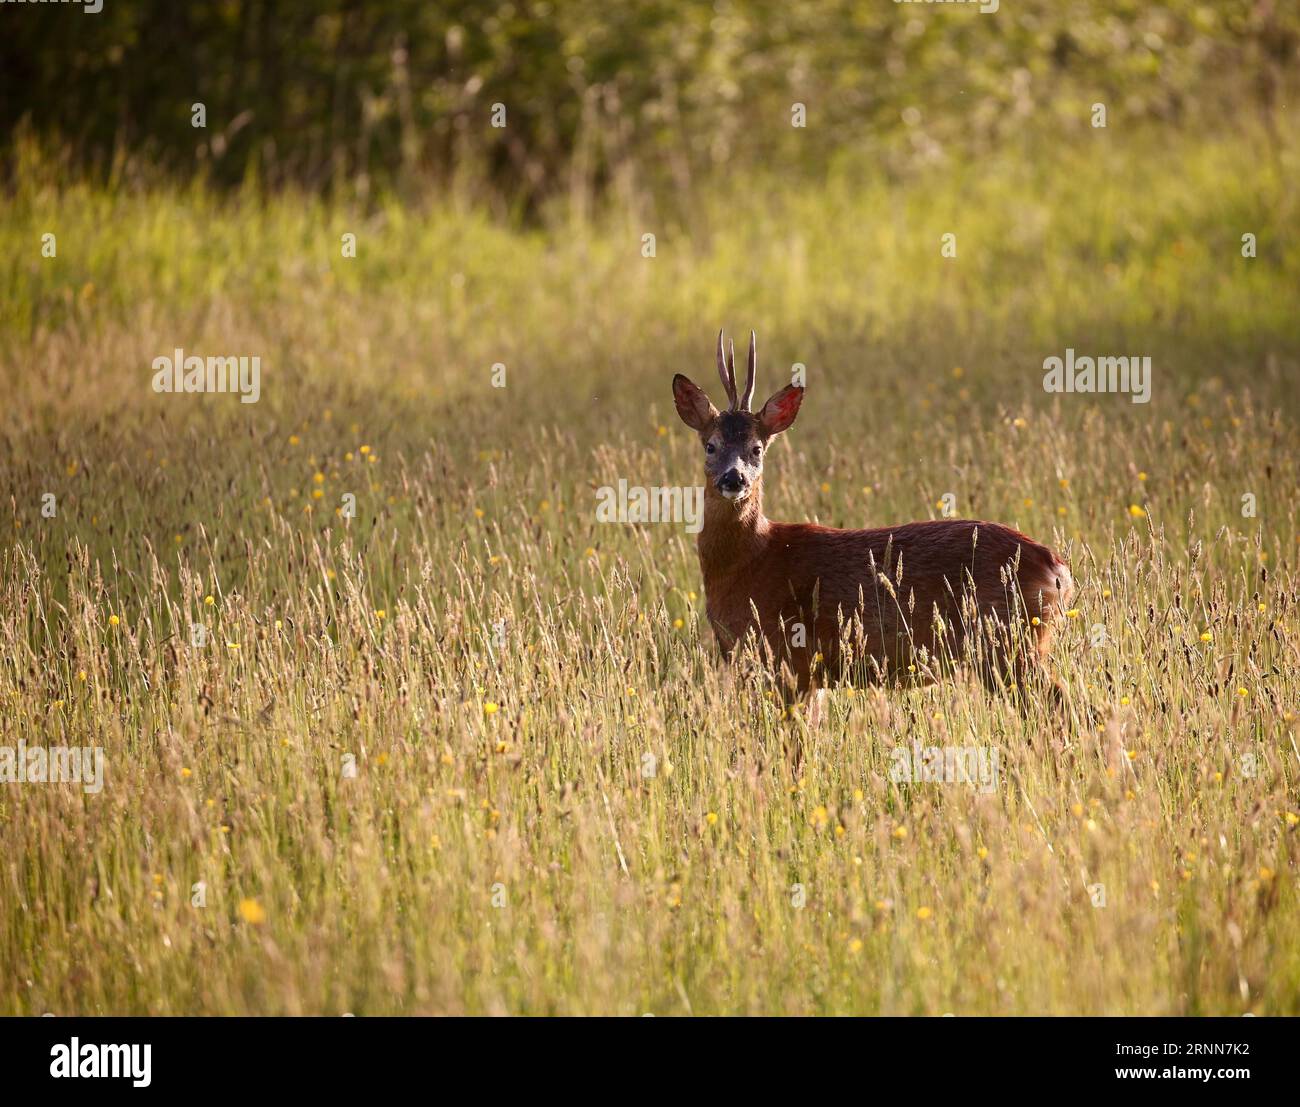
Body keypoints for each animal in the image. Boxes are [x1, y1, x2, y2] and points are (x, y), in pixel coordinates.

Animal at [671, 329, 1075, 714]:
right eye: (711, 446)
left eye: (757, 449)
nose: (733, 478)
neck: (749, 561)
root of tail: (1056, 567)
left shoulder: (790, 657)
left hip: (1006, 642)